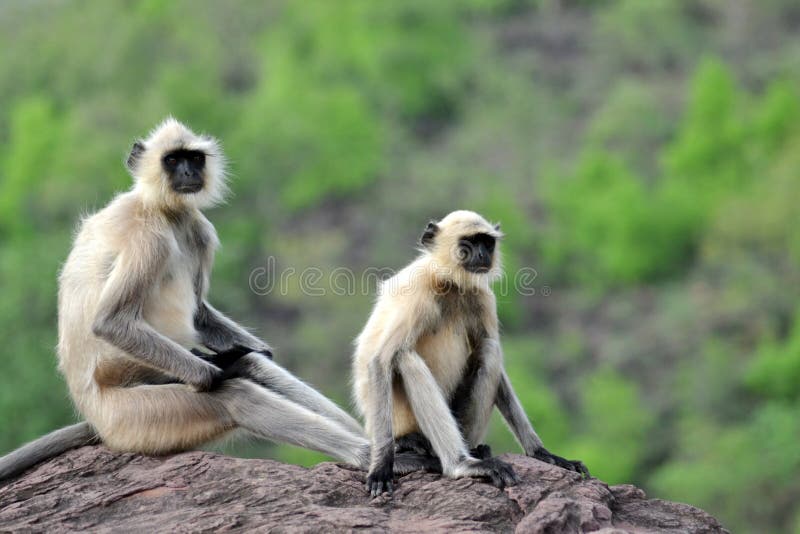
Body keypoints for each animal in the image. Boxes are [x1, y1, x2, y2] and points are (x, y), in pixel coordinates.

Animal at [0, 118, 438, 482]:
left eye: (193, 158)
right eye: (172, 160)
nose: (188, 173)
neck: (161, 209)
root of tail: (96, 418)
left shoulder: (198, 229)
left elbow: (207, 318)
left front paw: (255, 352)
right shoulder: (148, 237)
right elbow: (110, 322)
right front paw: (214, 372)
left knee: (253, 367)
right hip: (137, 417)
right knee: (235, 394)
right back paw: (368, 456)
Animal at [353, 210, 589, 497]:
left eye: (487, 243)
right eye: (467, 244)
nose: (482, 255)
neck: (449, 282)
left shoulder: (482, 296)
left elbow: (492, 357)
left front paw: (541, 452)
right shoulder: (417, 292)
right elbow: (381, 361)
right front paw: (381, 466)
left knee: (488, 349)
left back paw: (475, 450)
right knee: (404, 357)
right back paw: (457, 462)